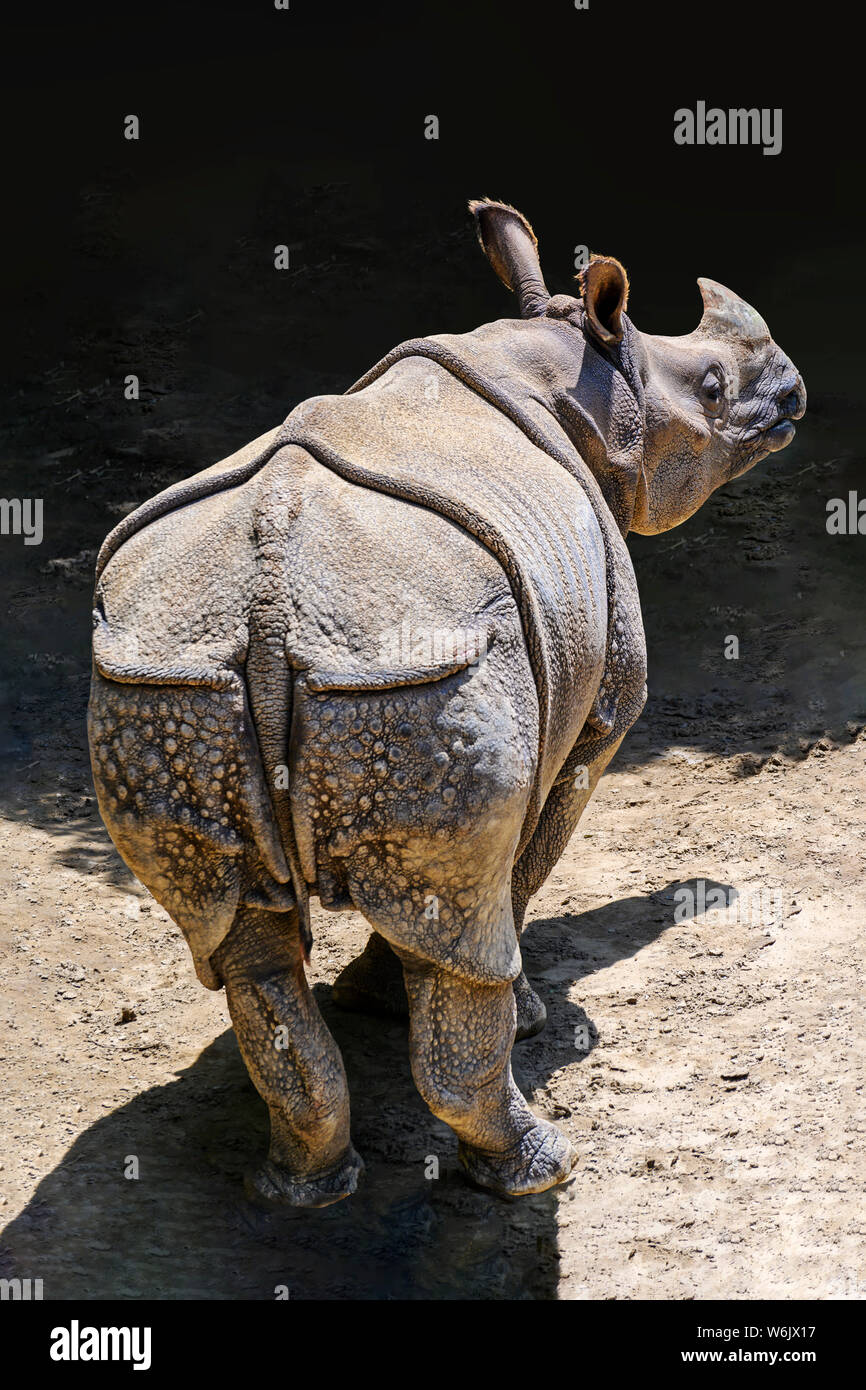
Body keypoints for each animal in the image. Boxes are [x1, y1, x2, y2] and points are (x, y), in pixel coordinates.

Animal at [88, 200, 805, 1205]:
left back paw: (301, 1187)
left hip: (166, 685)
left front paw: (370, 999)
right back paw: (539, 1172)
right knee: (460, 932)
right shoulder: (592, 712)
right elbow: (521, 863)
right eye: (711, 386)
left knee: (241, 944)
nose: (793, 392)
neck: (590, 378)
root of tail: (268, 598)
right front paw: (519, 1012)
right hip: (417, 675)